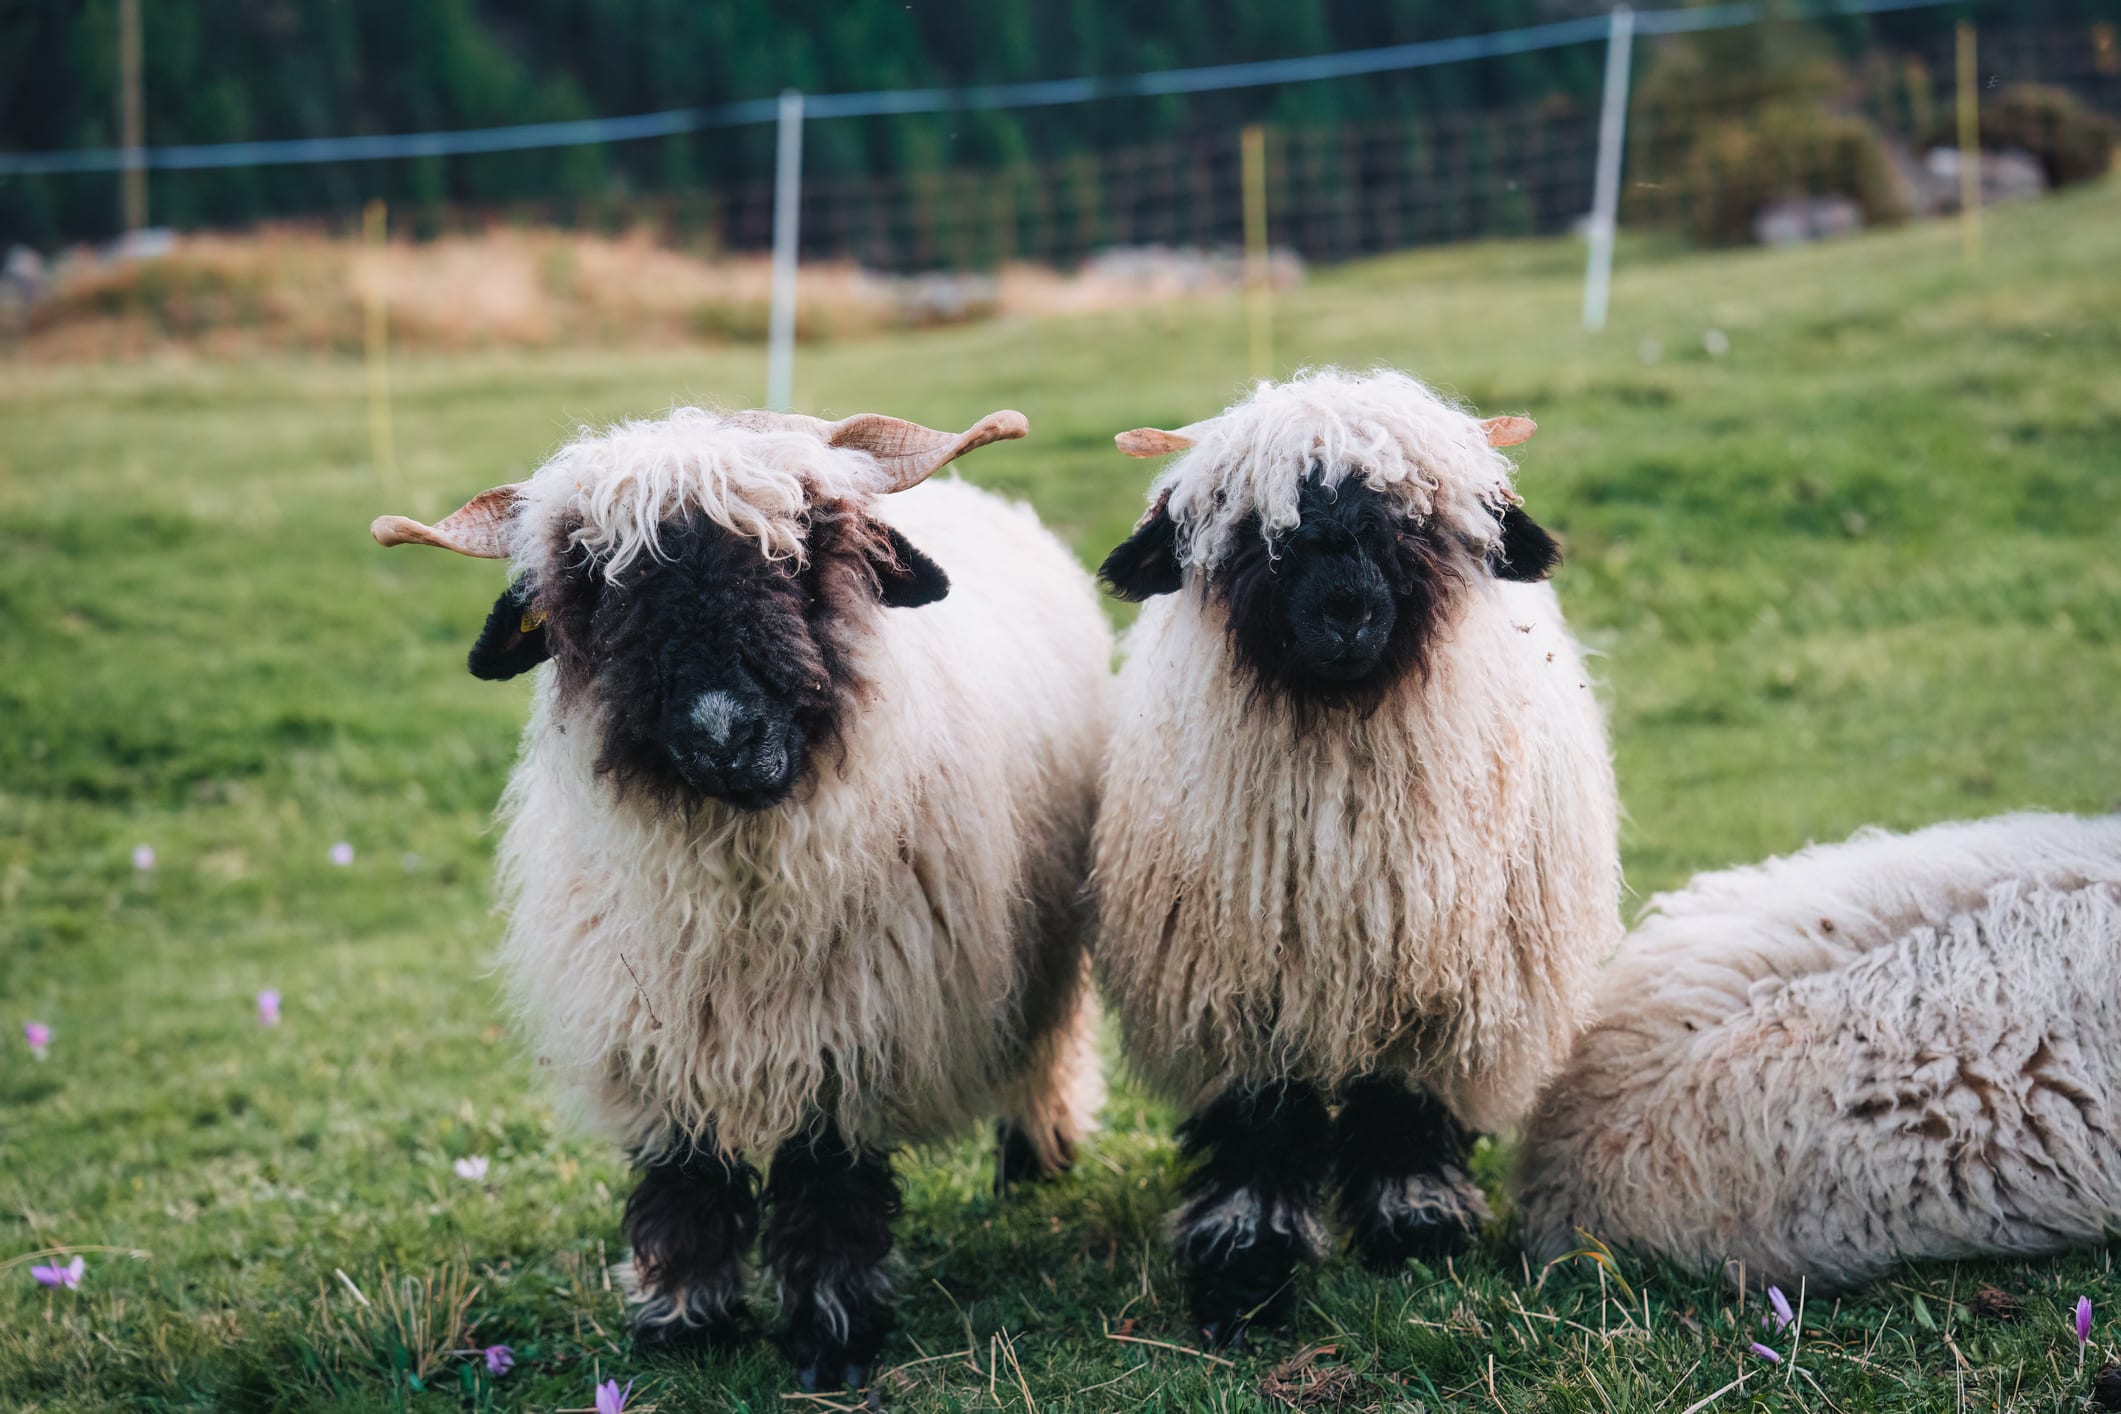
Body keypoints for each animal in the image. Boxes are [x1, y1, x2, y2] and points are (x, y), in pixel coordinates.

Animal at [369, 405, 1110, 1390]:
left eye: (797, 560)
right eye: (599, 595)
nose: (723, 734)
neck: (737, 891)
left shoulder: (849, 1032)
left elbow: (825, 1184)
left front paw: (831, 1337)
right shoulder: (656, 1033)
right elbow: (684, 1177)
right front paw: (683, 1320)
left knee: (1048, 1042)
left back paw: (1034, 1157)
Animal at [1091, 367, 1621, 1344]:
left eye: (1414, 522)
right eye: (1254, 534)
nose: (1344, 612)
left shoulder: (1439, 985)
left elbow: (1403, 1109)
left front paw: (1416, 1236)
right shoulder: (1238, 991)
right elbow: (1259, 1125)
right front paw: (1245, 1270)